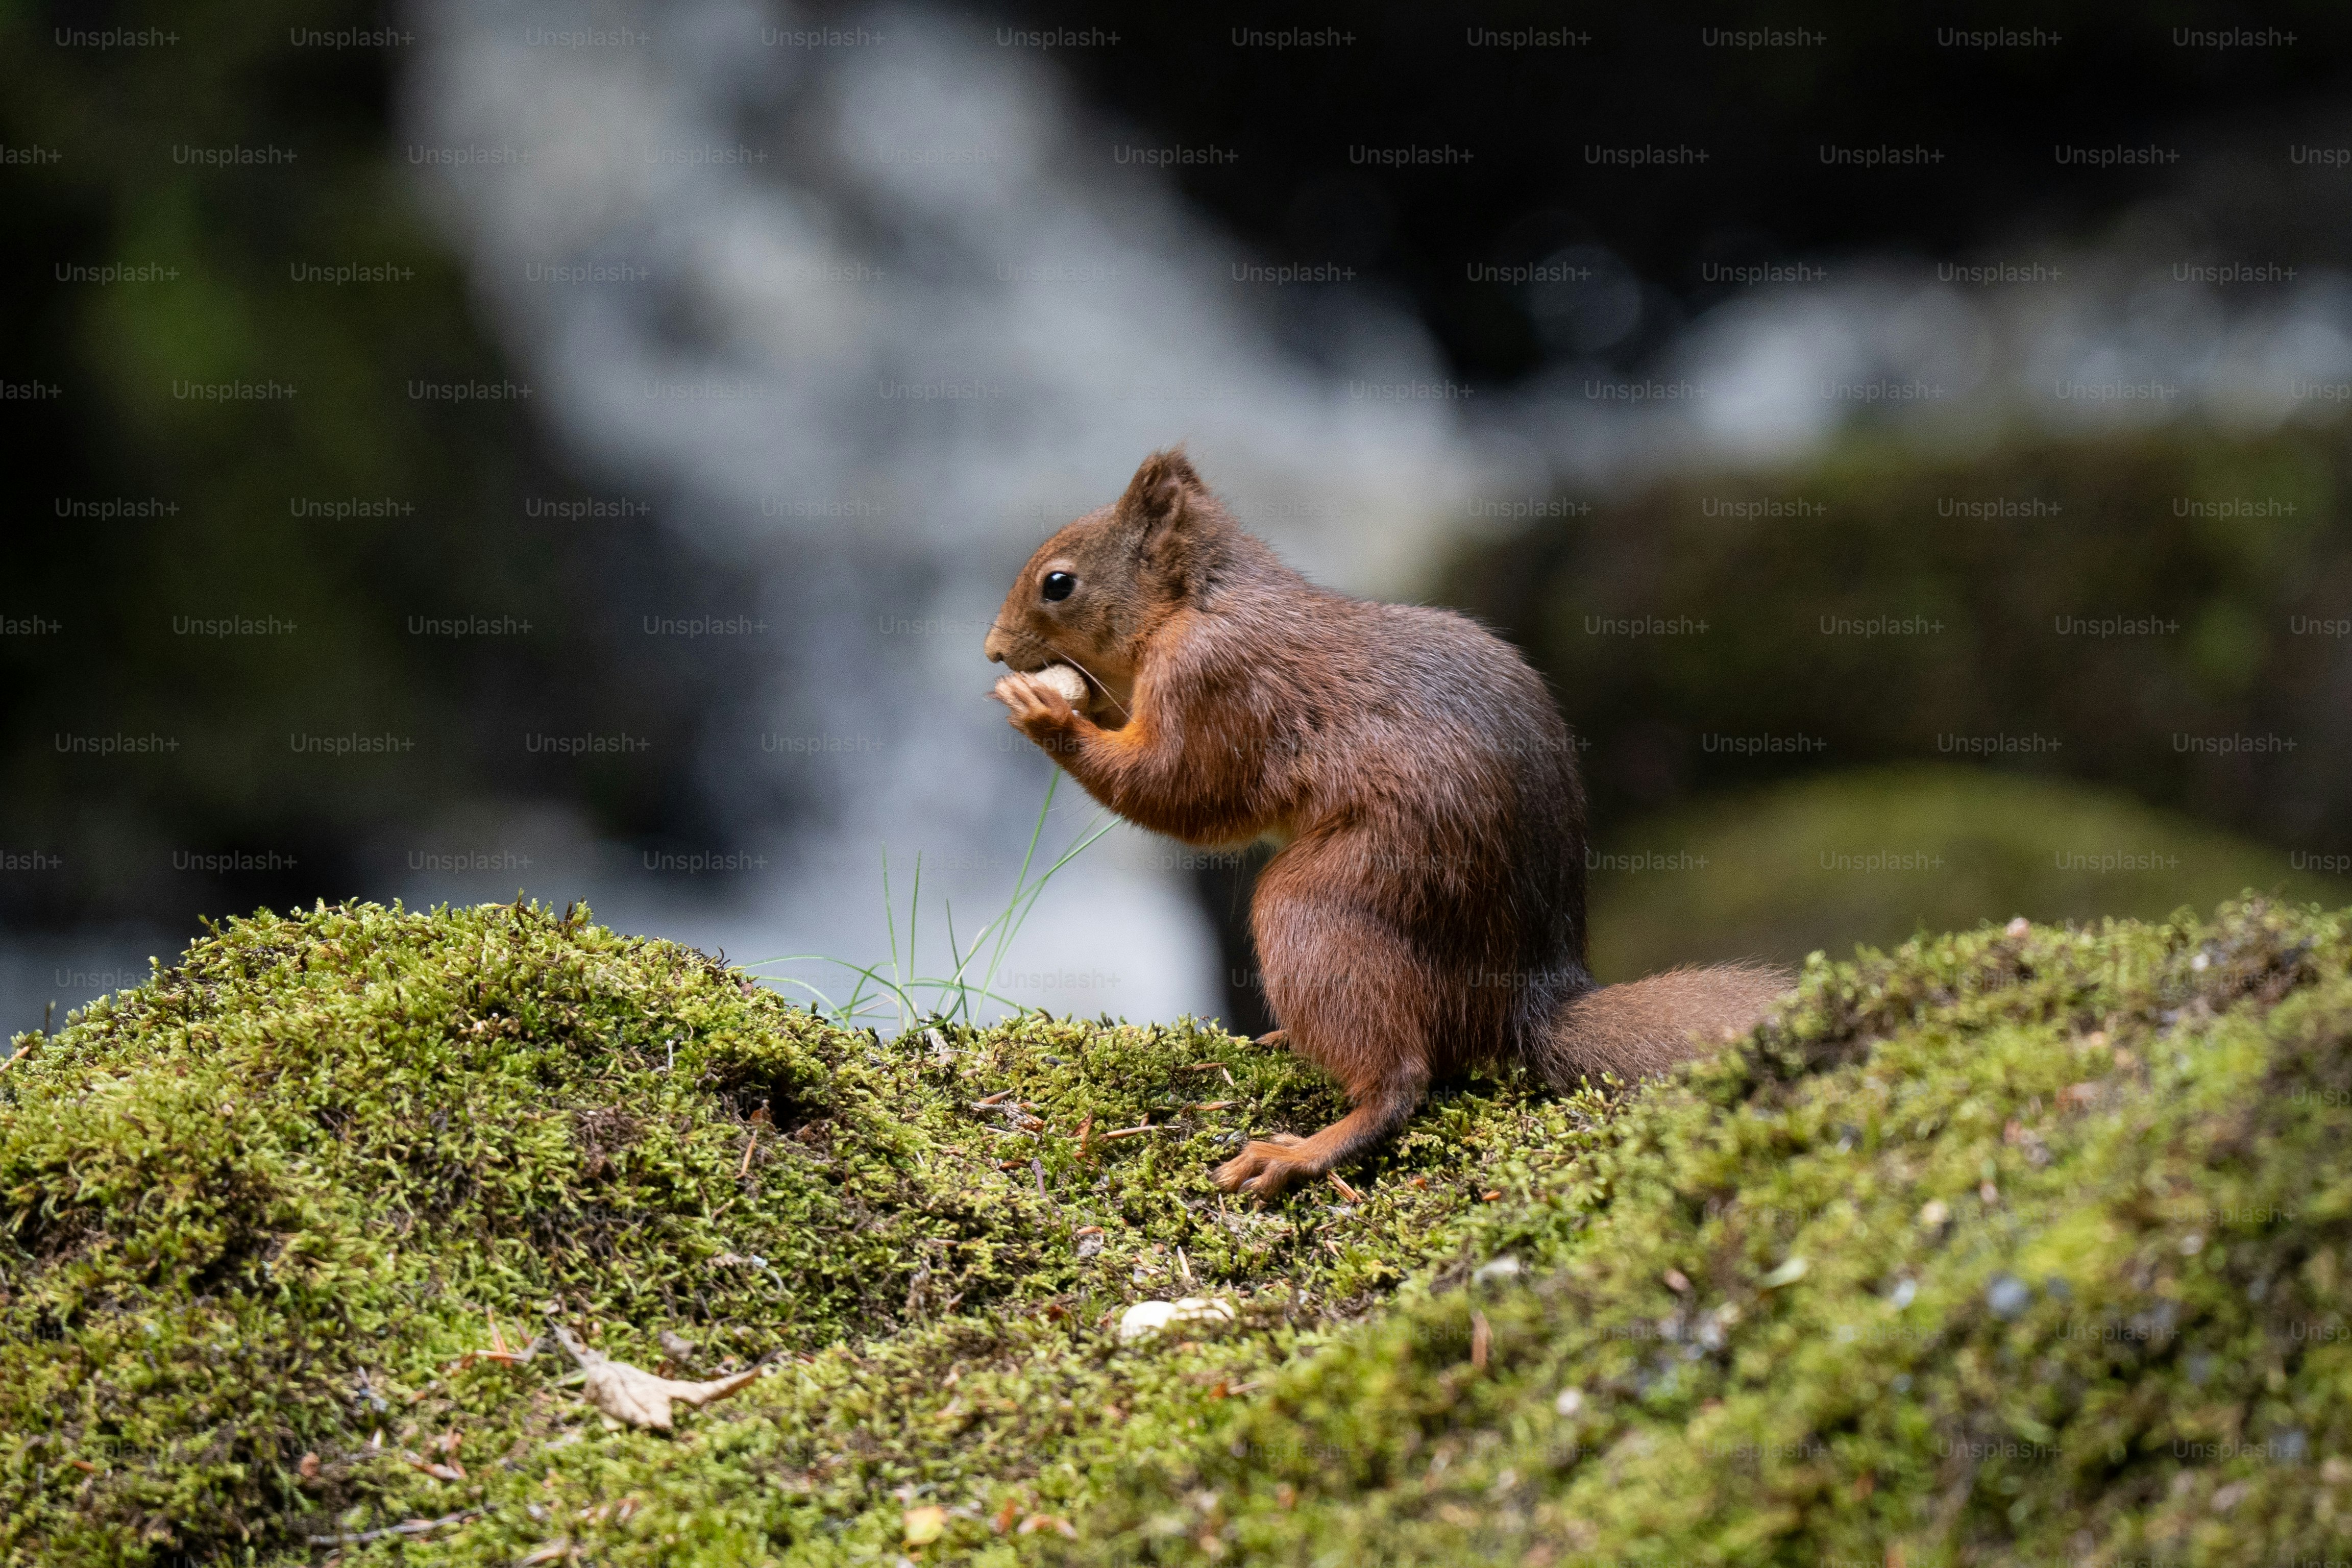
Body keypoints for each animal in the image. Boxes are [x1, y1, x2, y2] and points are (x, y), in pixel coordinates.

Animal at [984, 449, 1787, 1196]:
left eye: (1059, 583)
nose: (994, 651)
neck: (1198, 603)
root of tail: (1525, 998)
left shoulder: (1217, 682)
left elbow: (1182, 789)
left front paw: (1049, 713)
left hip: (1330, 903)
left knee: (1401, 1080)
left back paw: (1302, 1153)